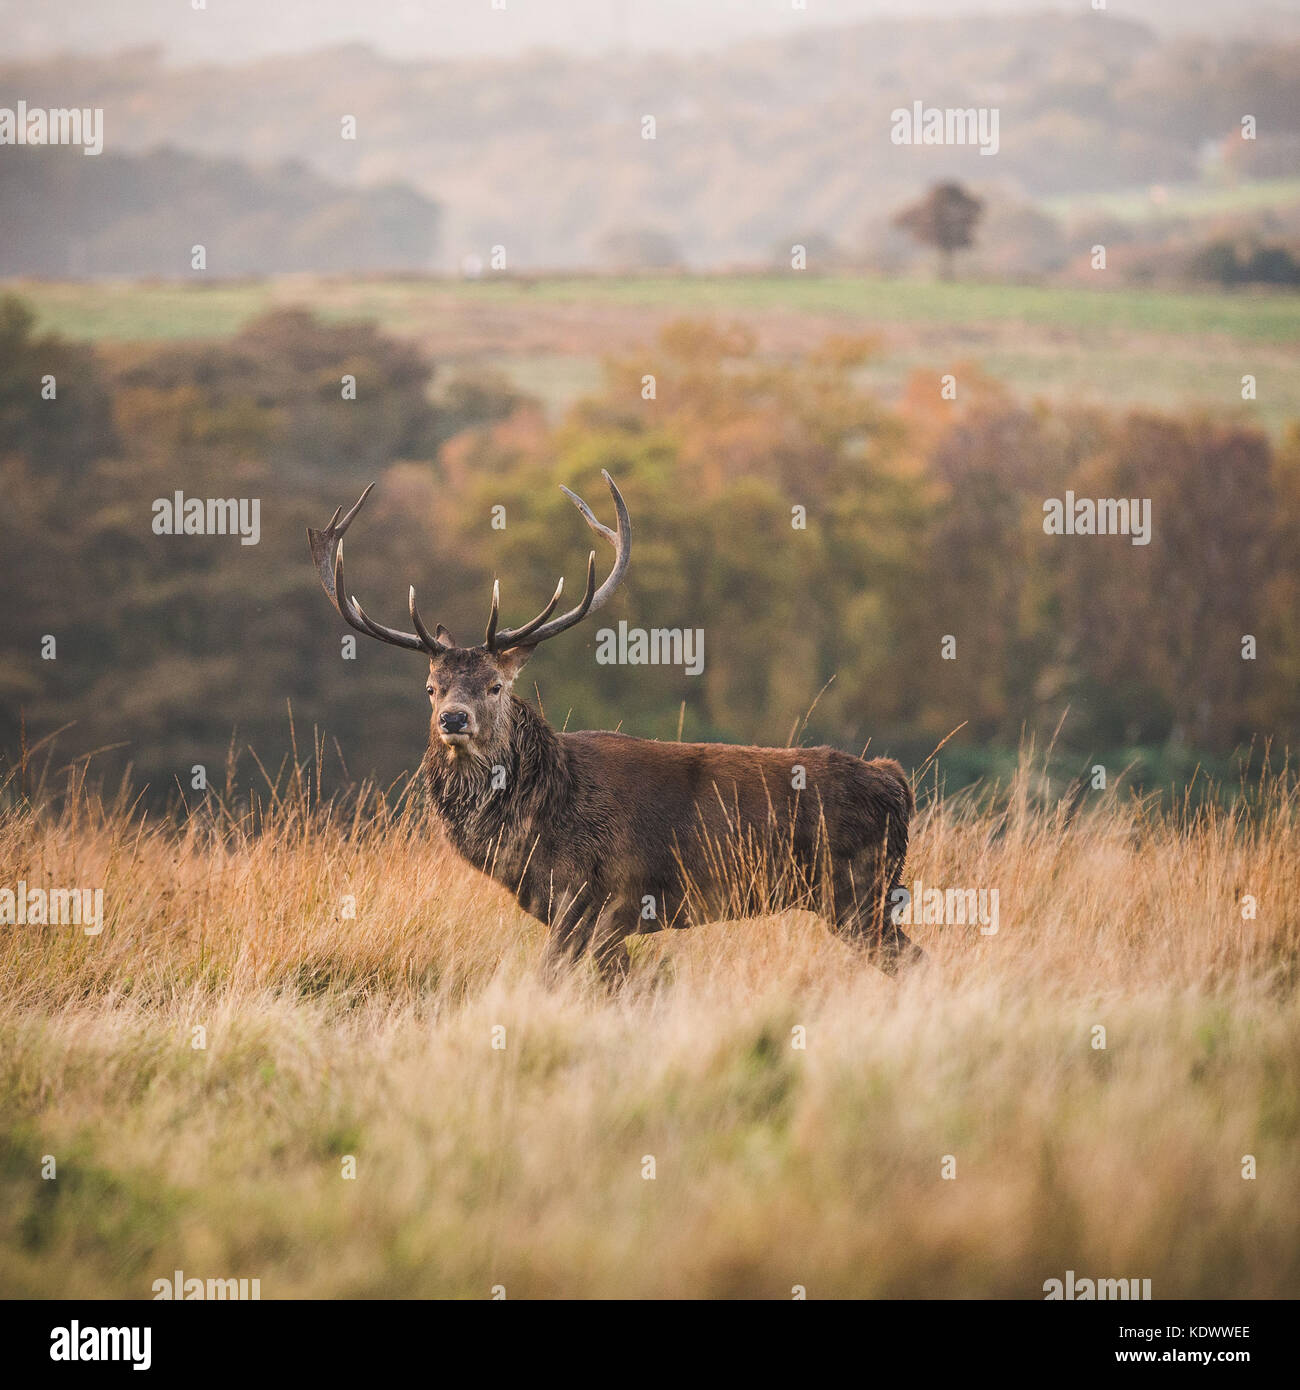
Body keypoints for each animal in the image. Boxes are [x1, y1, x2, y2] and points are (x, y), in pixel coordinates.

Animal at [308, 472, 924, 984]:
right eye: (431, 687)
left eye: (495, 686)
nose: (453, 719)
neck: (537, 821)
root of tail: (895, 782)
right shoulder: (588, 913)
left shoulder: (593, 894)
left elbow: (553, 979)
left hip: (857, 890)